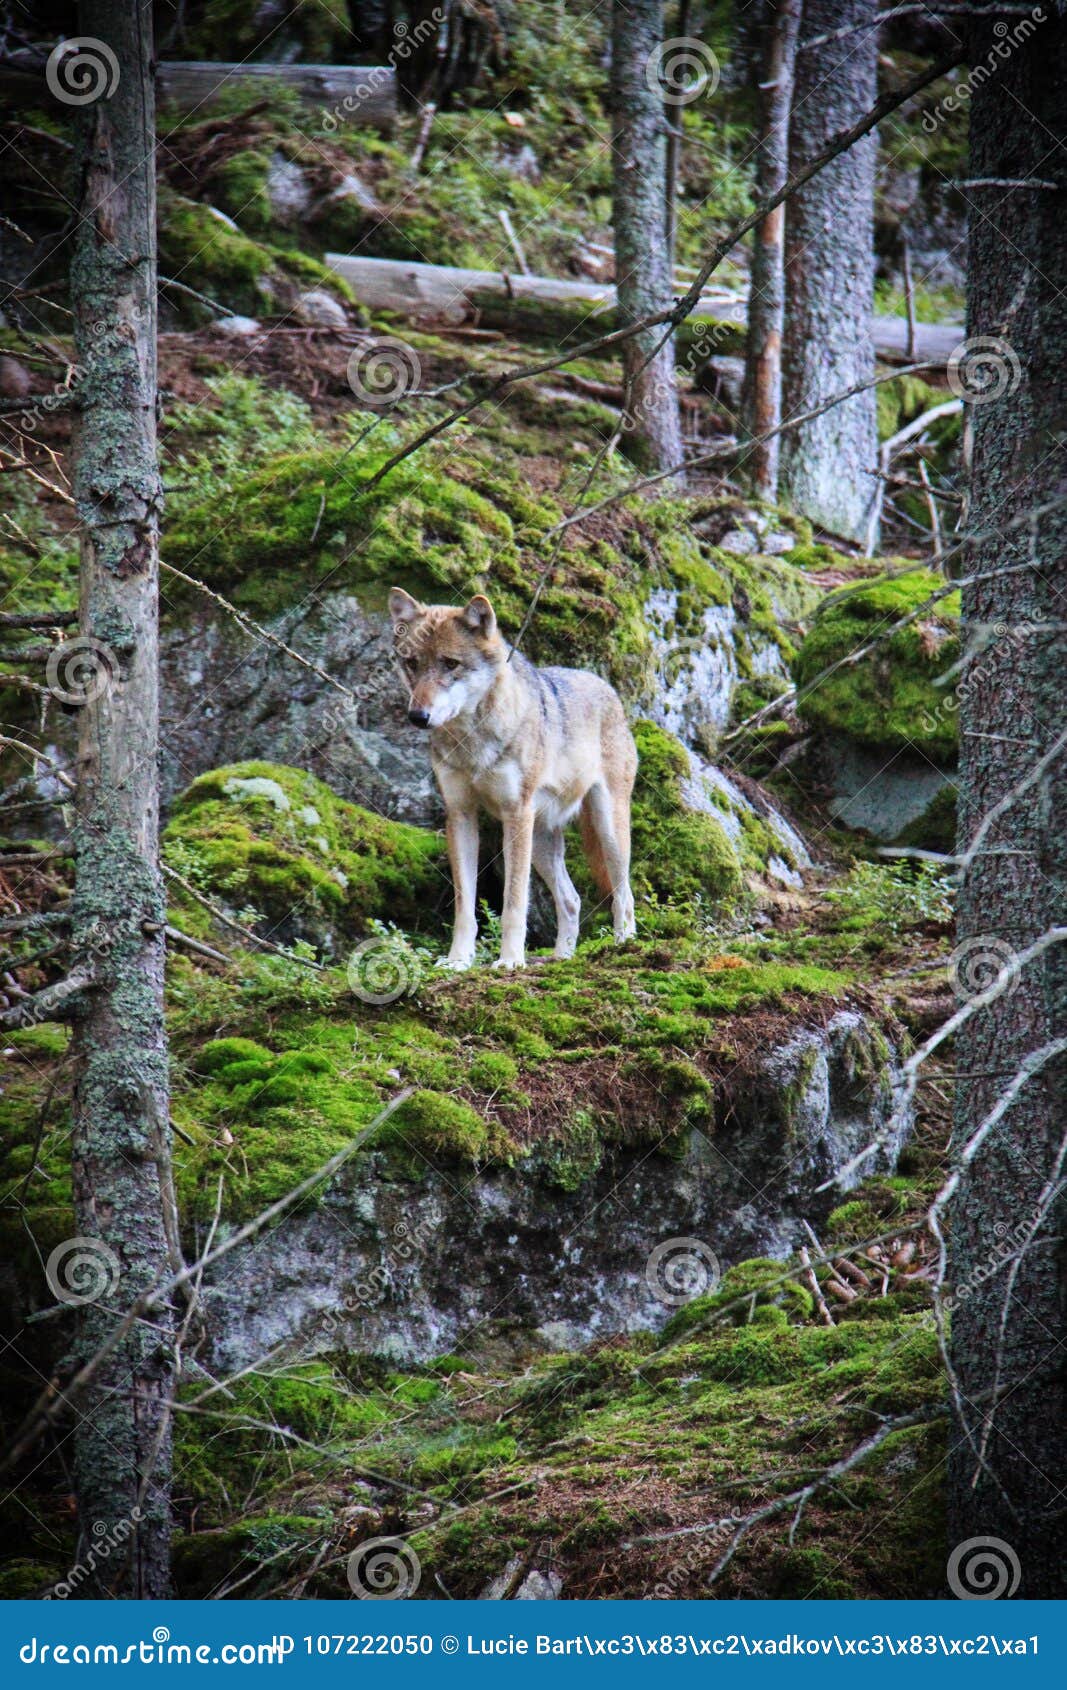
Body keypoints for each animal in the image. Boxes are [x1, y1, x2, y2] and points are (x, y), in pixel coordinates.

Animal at [389, 588, 638, 970]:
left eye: (450, 664)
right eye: (413, 664)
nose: (418, 716)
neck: (471, 742)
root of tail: (606, 688)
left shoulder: (515, 815)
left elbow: (514, 904)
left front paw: (509, 961)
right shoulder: (460, 816)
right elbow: (465, 908)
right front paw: (458, 961)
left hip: (606, 829)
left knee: (625, 895)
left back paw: (624, 944)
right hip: (543, 842)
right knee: (572, 900)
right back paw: (561, 957)